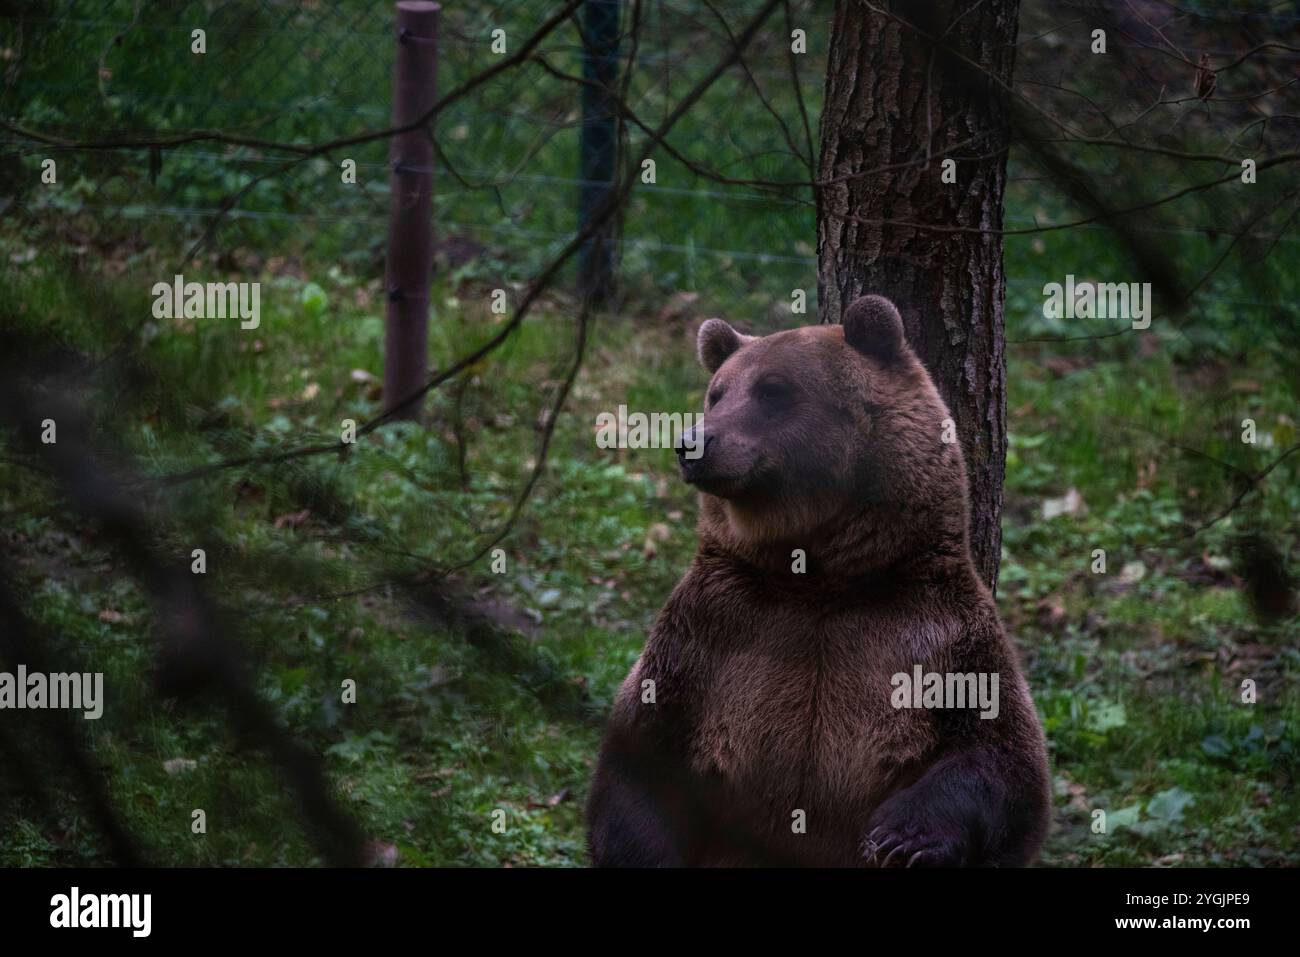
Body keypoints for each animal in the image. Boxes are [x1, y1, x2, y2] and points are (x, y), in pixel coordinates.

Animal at [585, 294, 1050, 867]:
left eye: (772, 389)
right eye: (717, 393)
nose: (692, 443)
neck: (820, 579)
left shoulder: (940, 632)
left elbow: (1004, 759)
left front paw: (903, 837)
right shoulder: (707, 633)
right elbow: (641, 761)